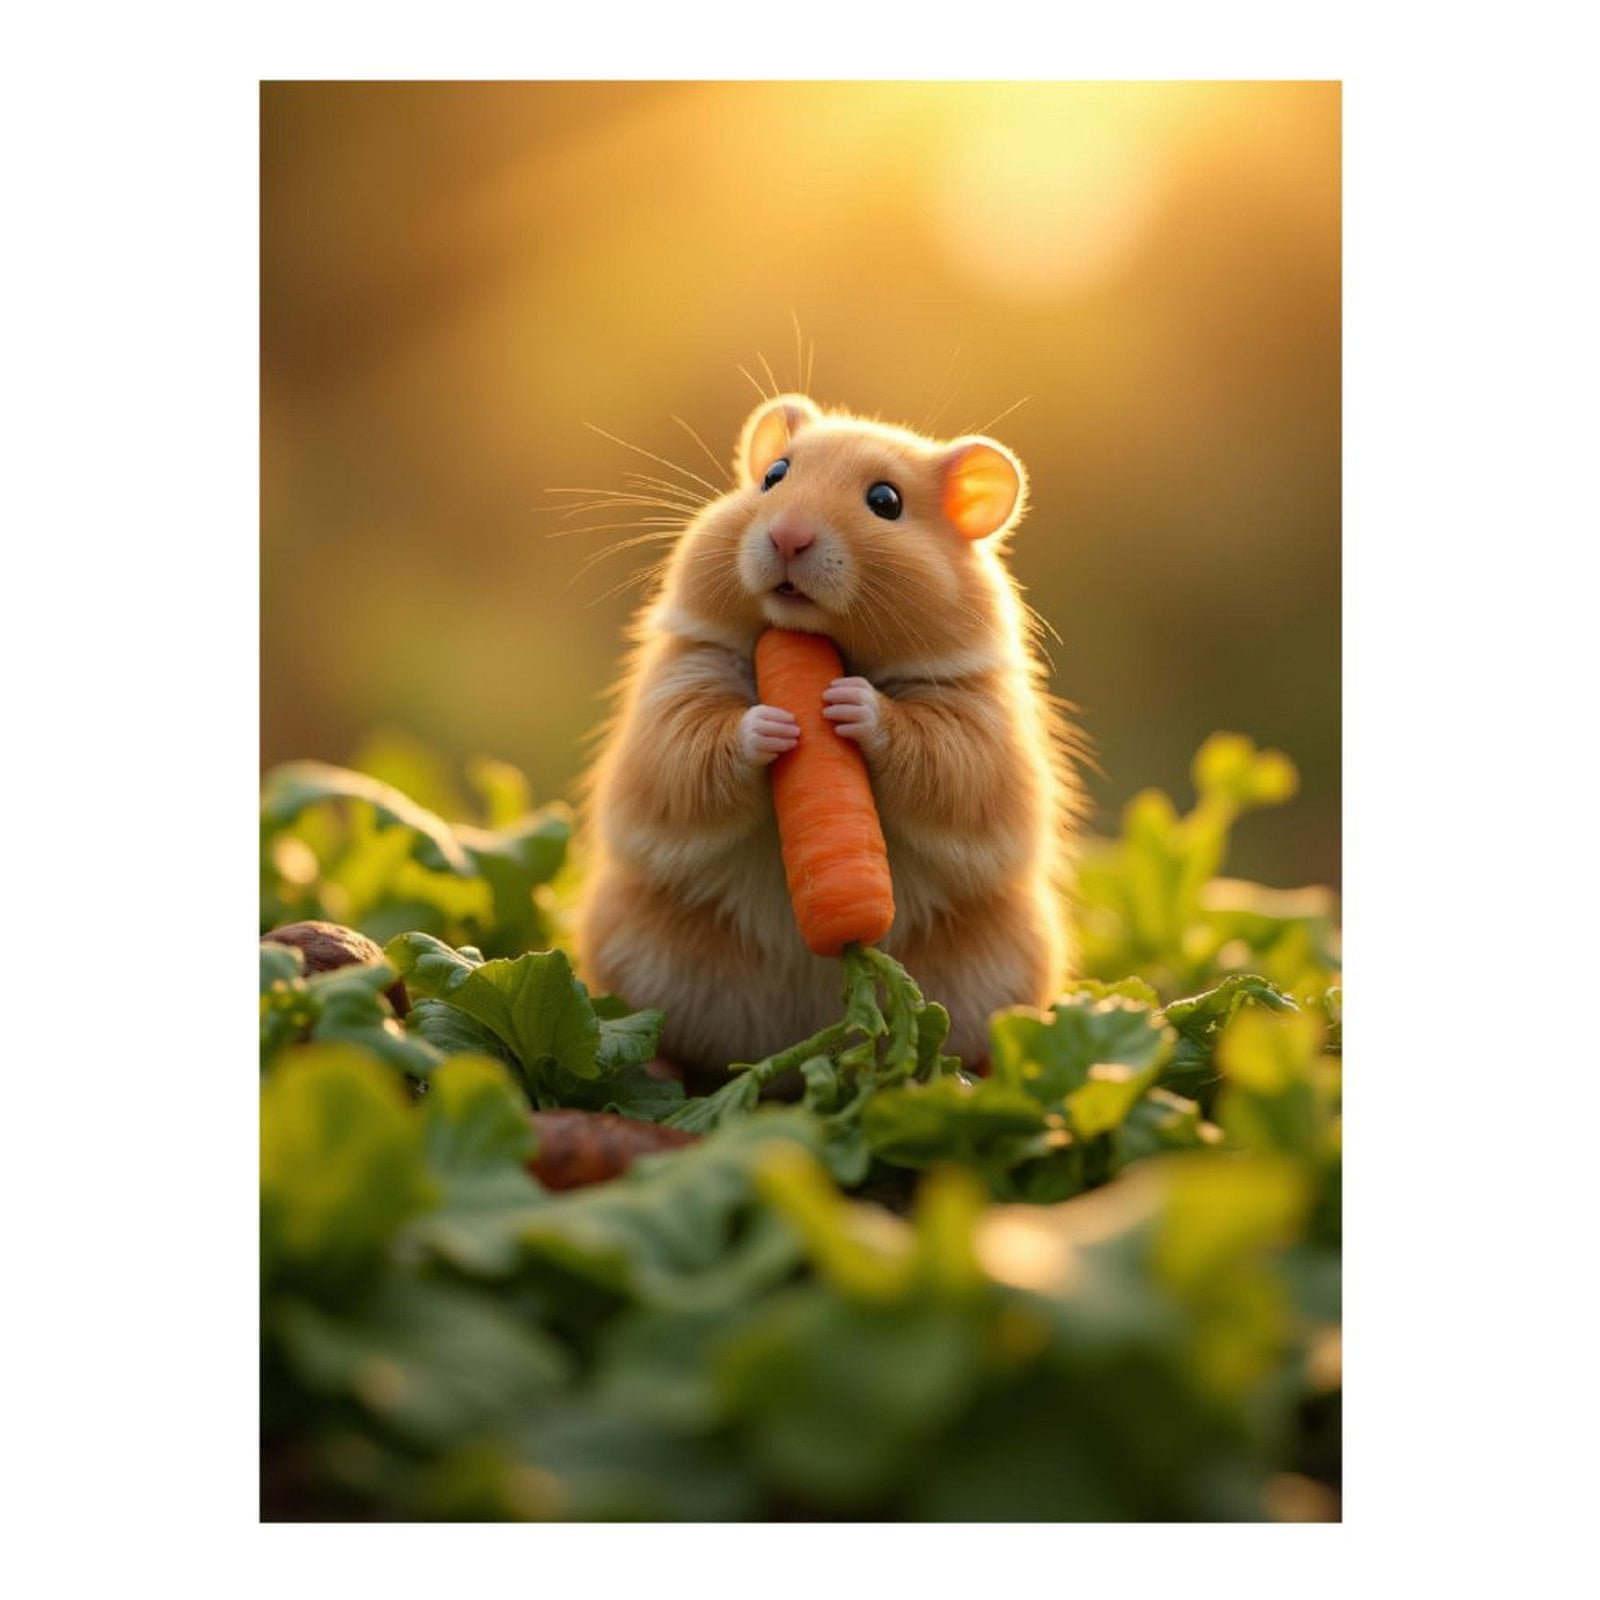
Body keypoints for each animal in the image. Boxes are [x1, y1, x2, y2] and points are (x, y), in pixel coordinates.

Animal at [574, 392, 1079, 1074]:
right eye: (774, 475)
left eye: (886, 501)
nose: (788, 536)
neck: (822, 645)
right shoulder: (675, 694)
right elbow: (692, 746)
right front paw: (773, 723)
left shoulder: (977, 727)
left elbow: (936, 752)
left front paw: (848, 702)